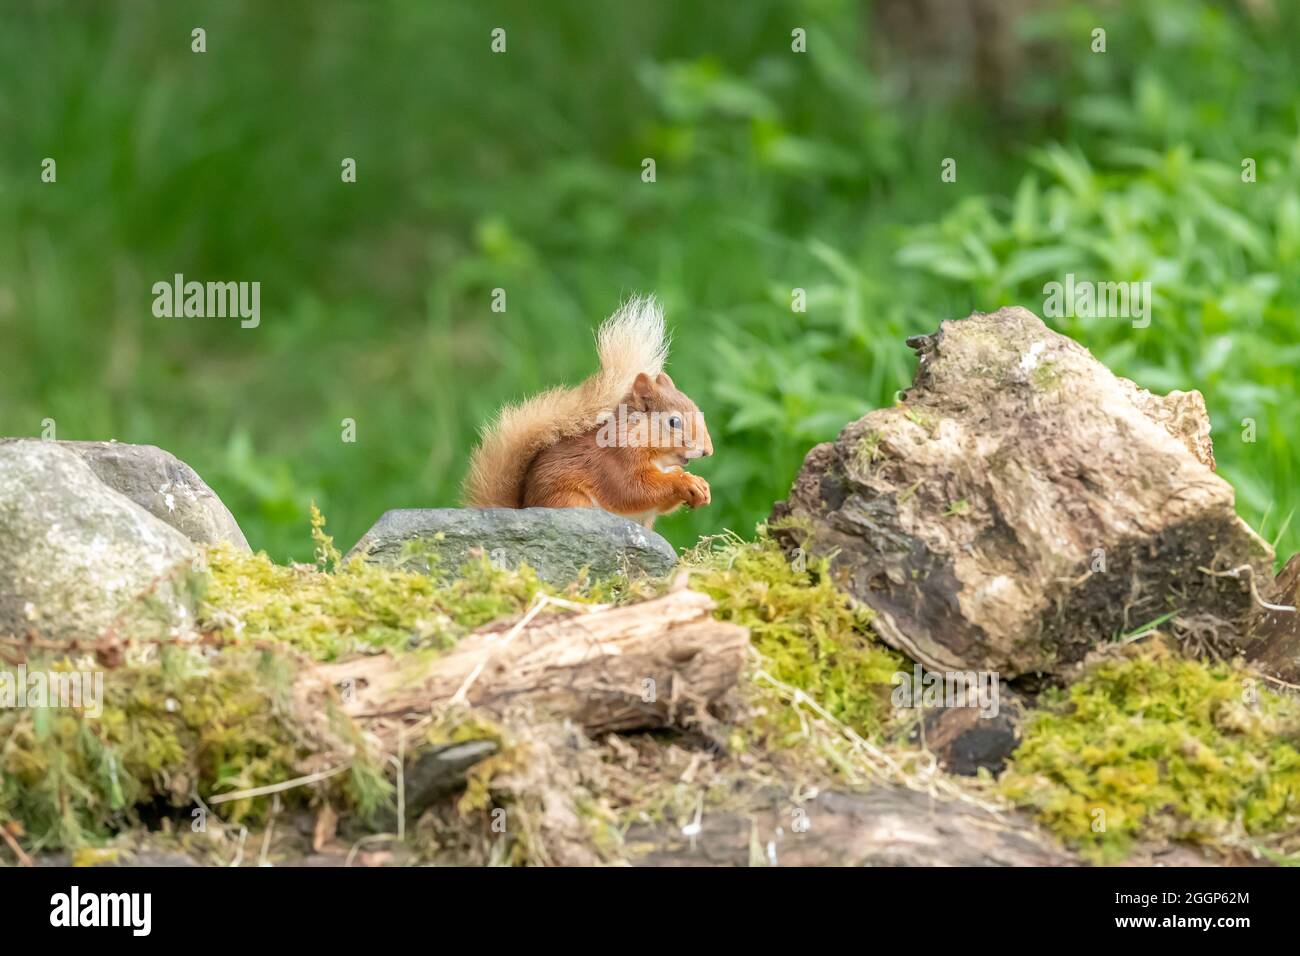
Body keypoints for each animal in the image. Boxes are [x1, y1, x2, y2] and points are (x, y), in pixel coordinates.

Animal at [463, 296, 713, 529]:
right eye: (673, 422)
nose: (708, 451)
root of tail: (525, 507)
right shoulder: (614, 462)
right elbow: (634, 490)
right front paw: (684, 481)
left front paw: (701, 486)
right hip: (570, 502)